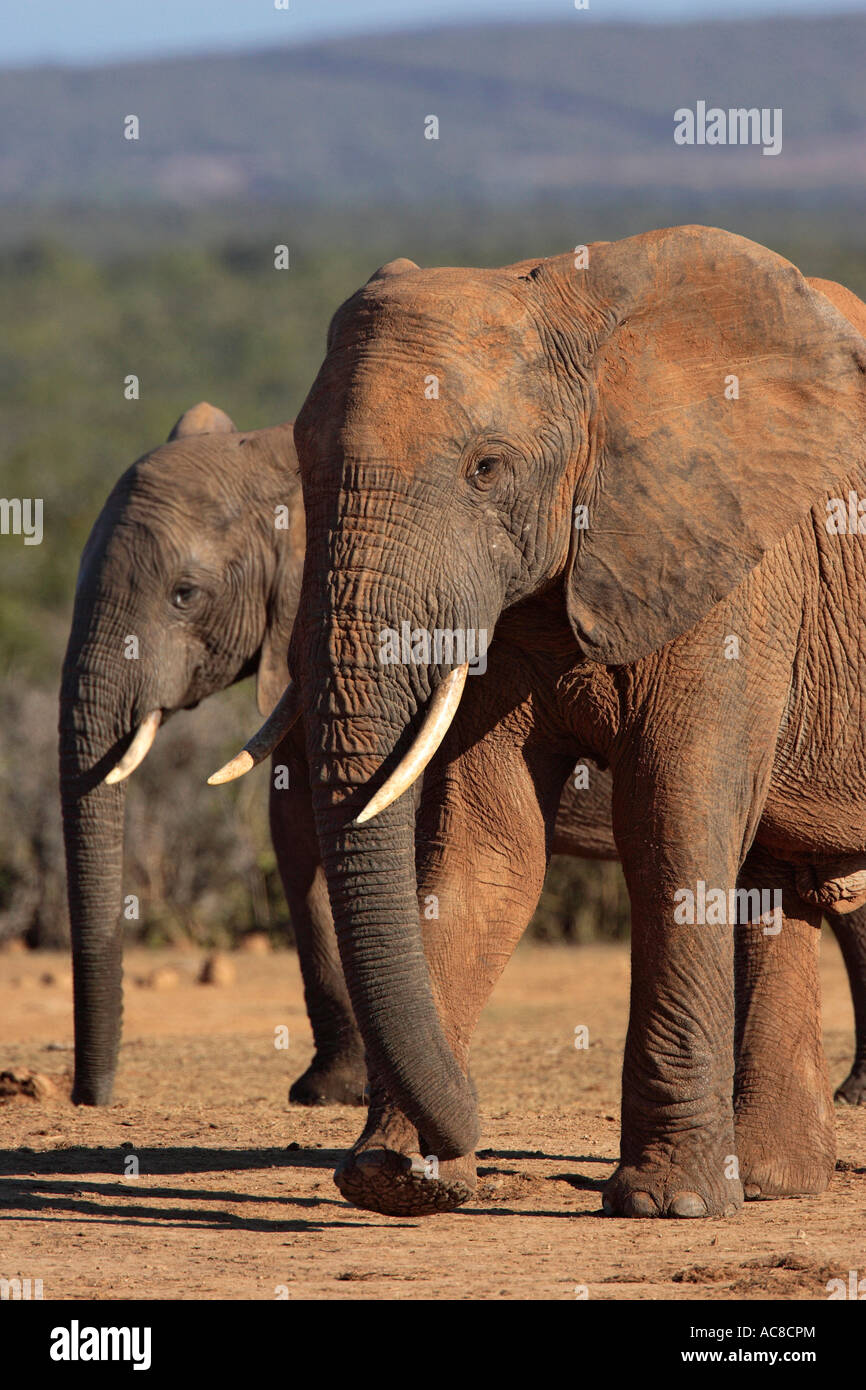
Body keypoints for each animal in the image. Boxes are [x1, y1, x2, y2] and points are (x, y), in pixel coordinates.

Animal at [228, 227, 866, 1219]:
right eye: (304, 466)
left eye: (486, 469)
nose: (471, 1127)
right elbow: (490, 841)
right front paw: (396, 1180)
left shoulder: (734, 564)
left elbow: (673, 817)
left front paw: (666, 1206)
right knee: (778, 879)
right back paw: (772, 1184)